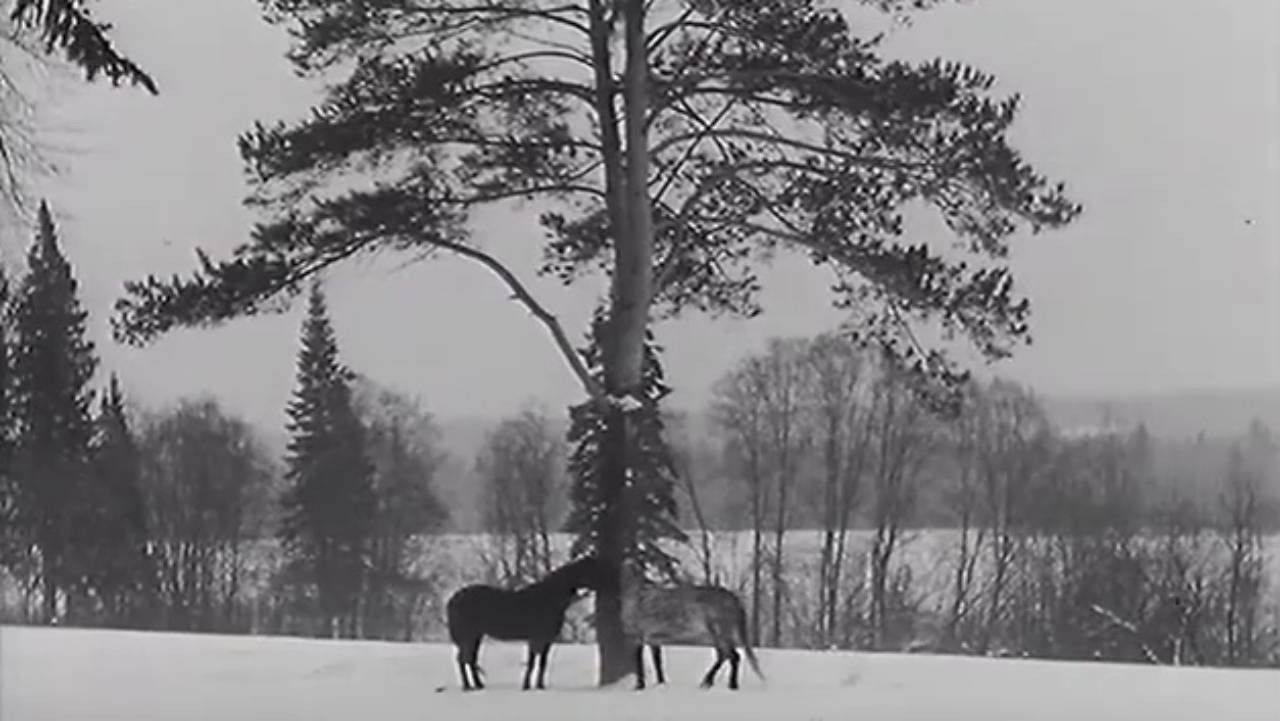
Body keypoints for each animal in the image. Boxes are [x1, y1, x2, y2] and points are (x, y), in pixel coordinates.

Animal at [445, 556, 607, 691]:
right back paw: (468, 686)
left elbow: (542, 663)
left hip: (476, 636)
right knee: (463, 659)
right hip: (468, 636)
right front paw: (527, 686)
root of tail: (452, 600)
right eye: (593, 569)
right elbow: (531, 662)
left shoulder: (546, 640)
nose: (607, 582)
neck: (548, 598)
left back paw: (478, 685)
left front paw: (540, 686)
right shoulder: (535, 638)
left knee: (470, 659)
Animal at [620, 564, 764, 691]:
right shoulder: (654, 639)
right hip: (716, 634)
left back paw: (730, 685)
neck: (636, 595)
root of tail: (733, 598)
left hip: (720, 631)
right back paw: (708, 682)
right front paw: (661, 683)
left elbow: (639, 662)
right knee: (724, 656)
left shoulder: (638, 636)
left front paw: (639, 686)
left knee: (732, 656)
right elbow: (658, 662)